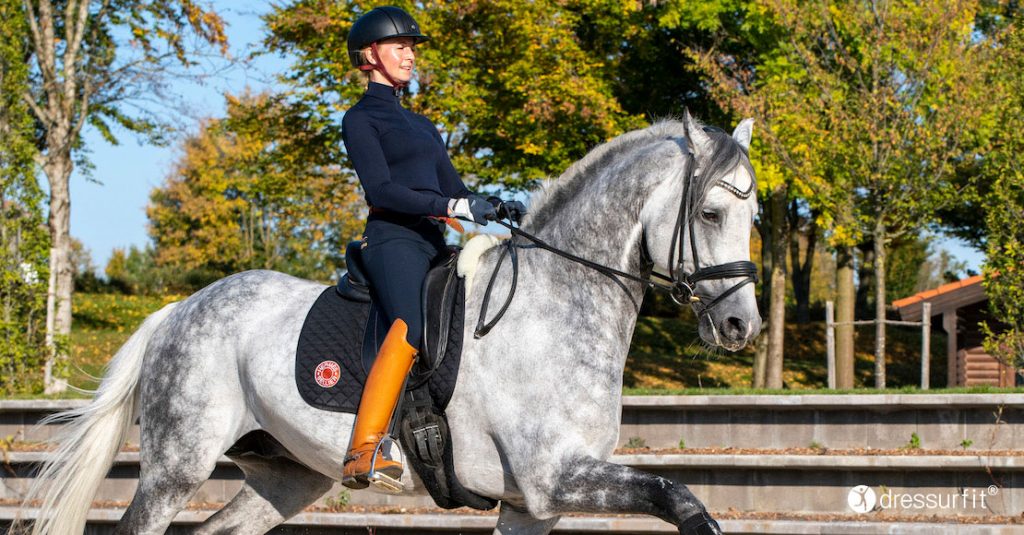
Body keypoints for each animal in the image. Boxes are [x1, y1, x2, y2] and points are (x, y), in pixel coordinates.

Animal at [19, 112, 761, 535]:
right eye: (709, 213)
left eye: (753, 215)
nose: (739, 325)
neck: (556, 306)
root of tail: (180, 308)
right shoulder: (555, 476)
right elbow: (681, 498)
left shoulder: (532, 504)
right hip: (176, 466)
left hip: (288, 474)